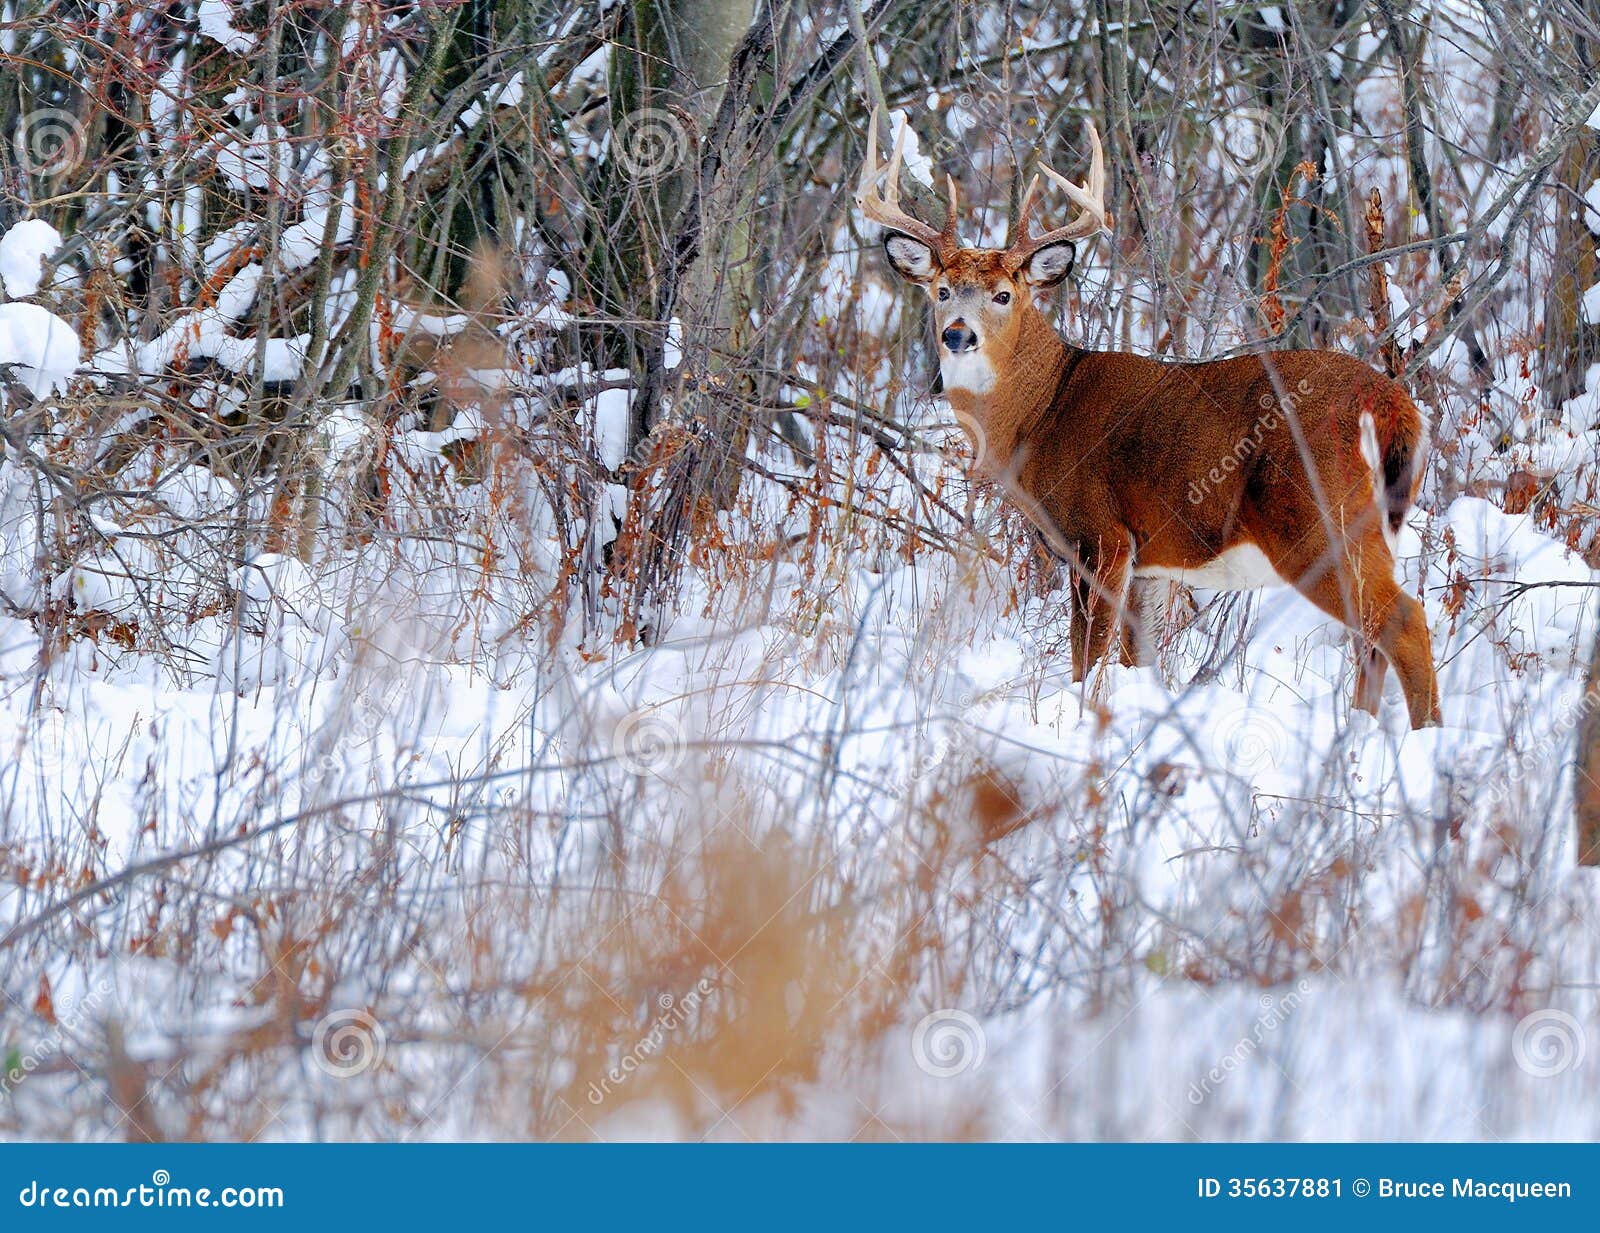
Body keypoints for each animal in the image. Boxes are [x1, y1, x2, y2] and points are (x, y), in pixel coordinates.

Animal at [858, 110, 1440, 729]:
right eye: (942, 290)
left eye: (1002, 295)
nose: (957, 335)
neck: (1041, 411)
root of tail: (1394, 404)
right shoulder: (1153, 562)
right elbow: (1140, 660)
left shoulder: (1100, 534)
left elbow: (1087, 657)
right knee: (1371, 641)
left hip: (1318, 519)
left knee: (1404, 623)